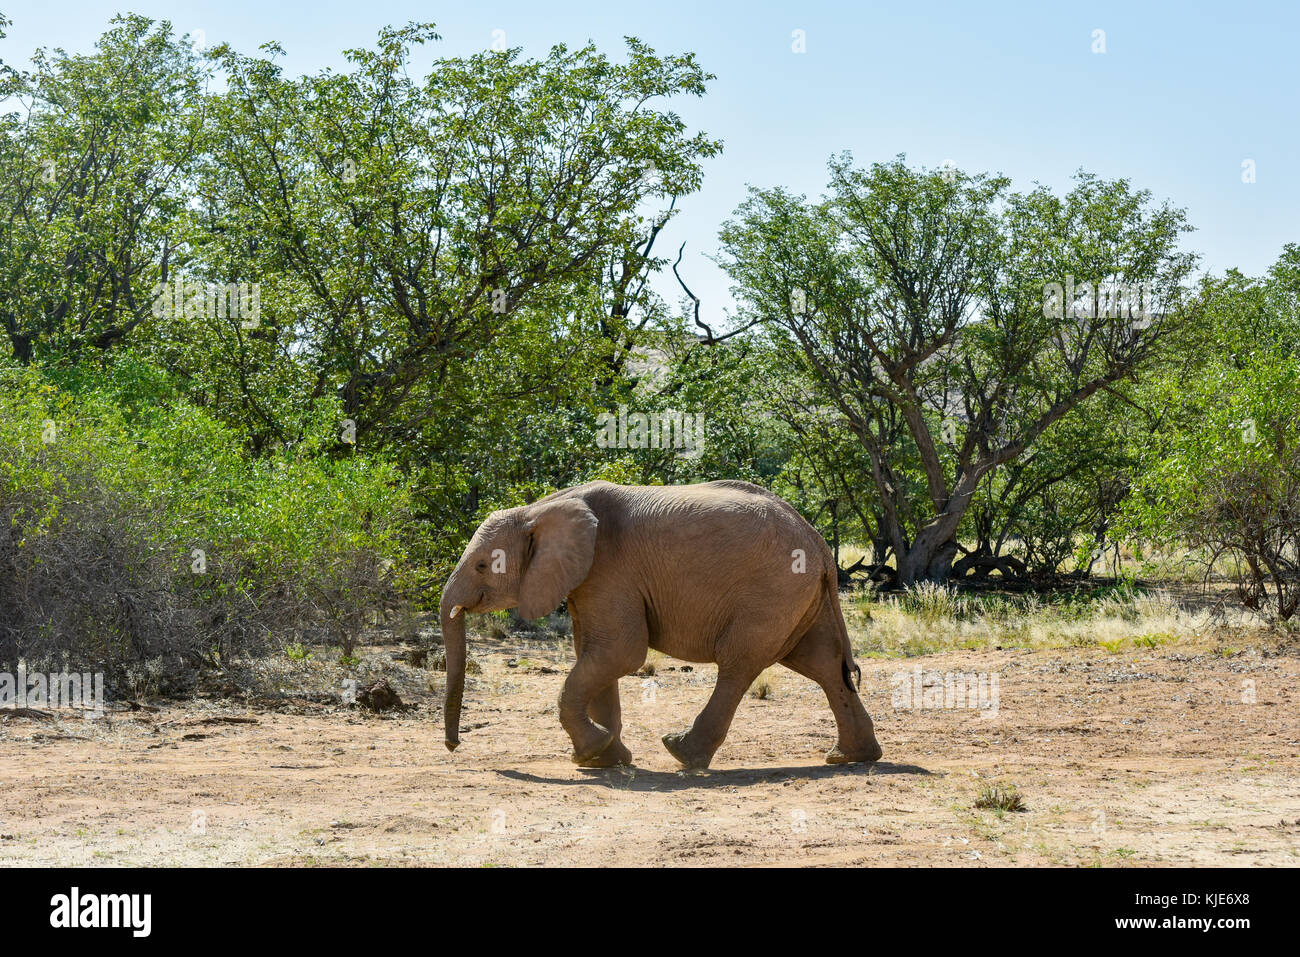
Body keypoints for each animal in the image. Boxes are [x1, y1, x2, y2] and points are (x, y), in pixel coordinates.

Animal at [439, 479, 883, 770]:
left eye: (482, 566)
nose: (454, 746)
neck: (538, 509)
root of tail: (818, 541)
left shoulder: (609, 569)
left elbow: (620, 652)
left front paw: (591, 754)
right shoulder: (589, 580)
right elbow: (596, 655)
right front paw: (606, 760)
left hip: (773, 590)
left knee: (739, 665)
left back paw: (682, 753)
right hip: (800, 596)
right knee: (823, 665)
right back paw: (850, 758)